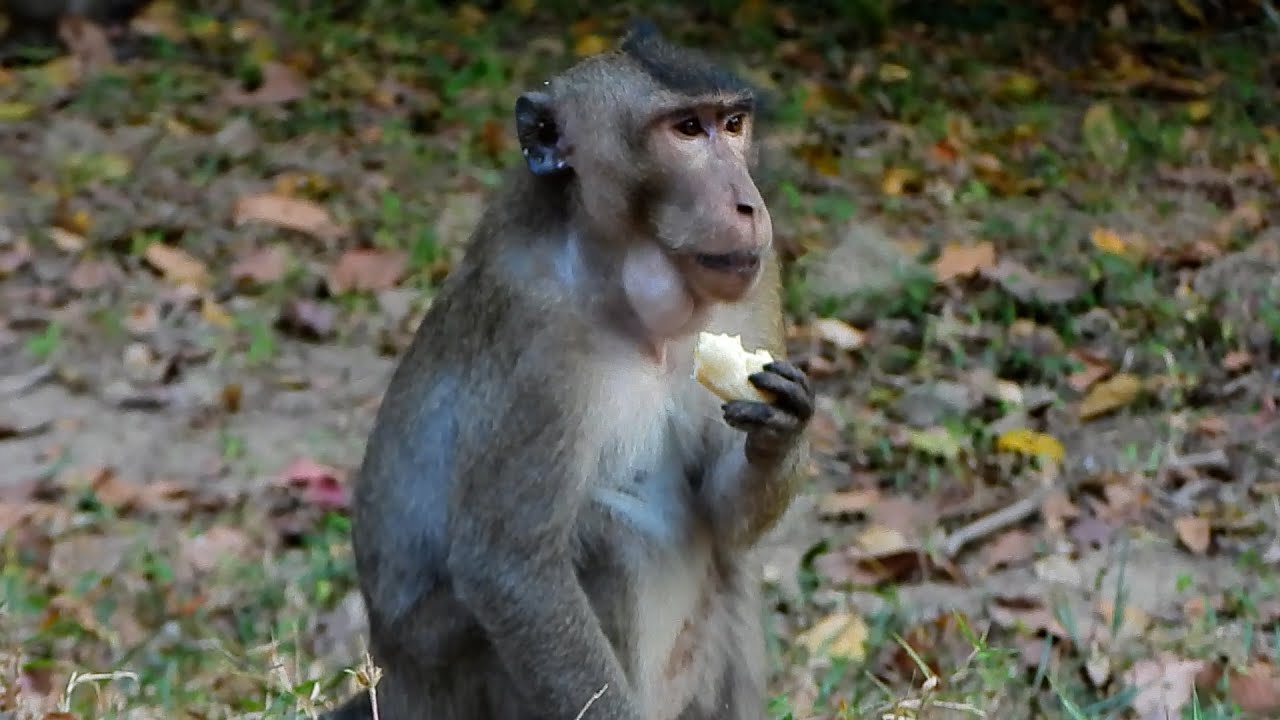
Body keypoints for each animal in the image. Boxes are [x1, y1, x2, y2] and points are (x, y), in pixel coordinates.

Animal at [322, 20, 813, 720]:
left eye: (734, 123)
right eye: (688, 130)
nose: (748, 204)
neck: (626, 280)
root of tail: (391, 684)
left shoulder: (755, 282)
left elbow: (720, 516)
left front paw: (780, 429)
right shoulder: (538, 338)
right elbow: (512, 568)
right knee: (603, 538)